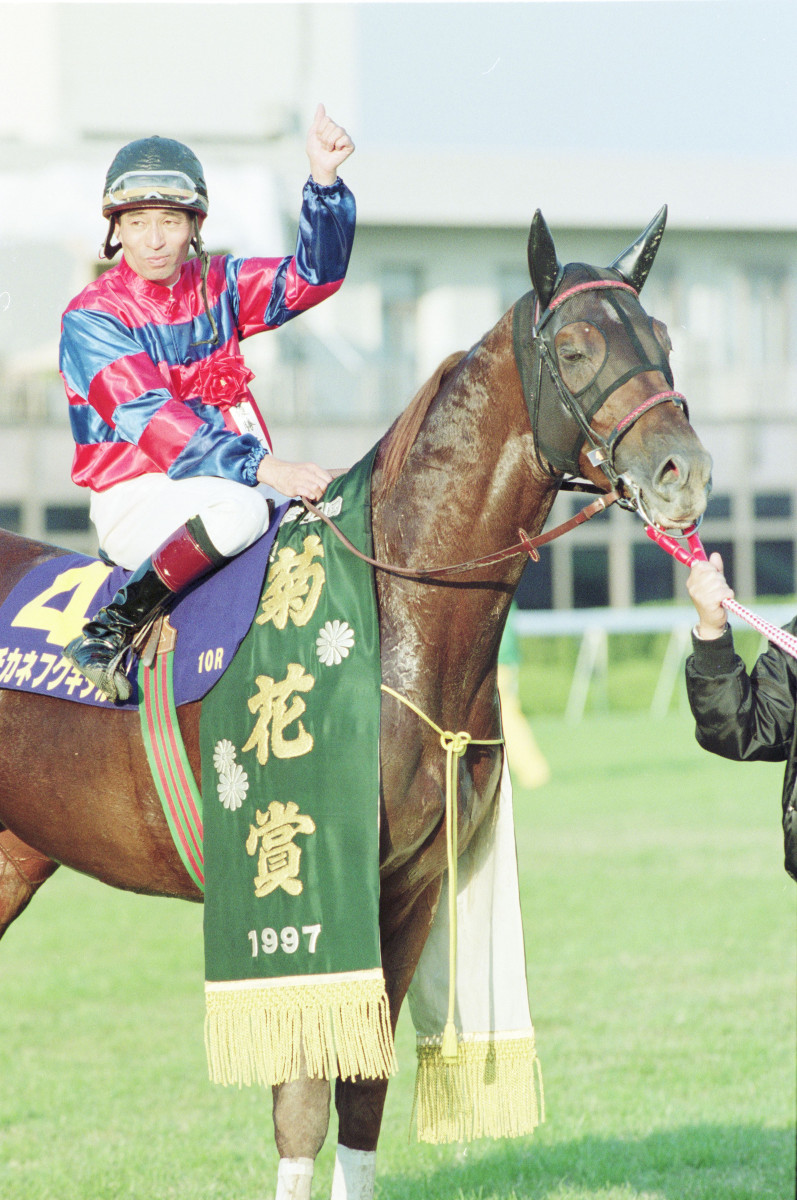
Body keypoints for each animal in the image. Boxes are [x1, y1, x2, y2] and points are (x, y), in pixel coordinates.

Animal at [0, 208, 712, 1198]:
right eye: (572, 348)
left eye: (664, 339)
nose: (682, 472)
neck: (396, 614)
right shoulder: (306, 890)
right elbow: (302, 1106)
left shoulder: (408, 891)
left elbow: (364, 1092)